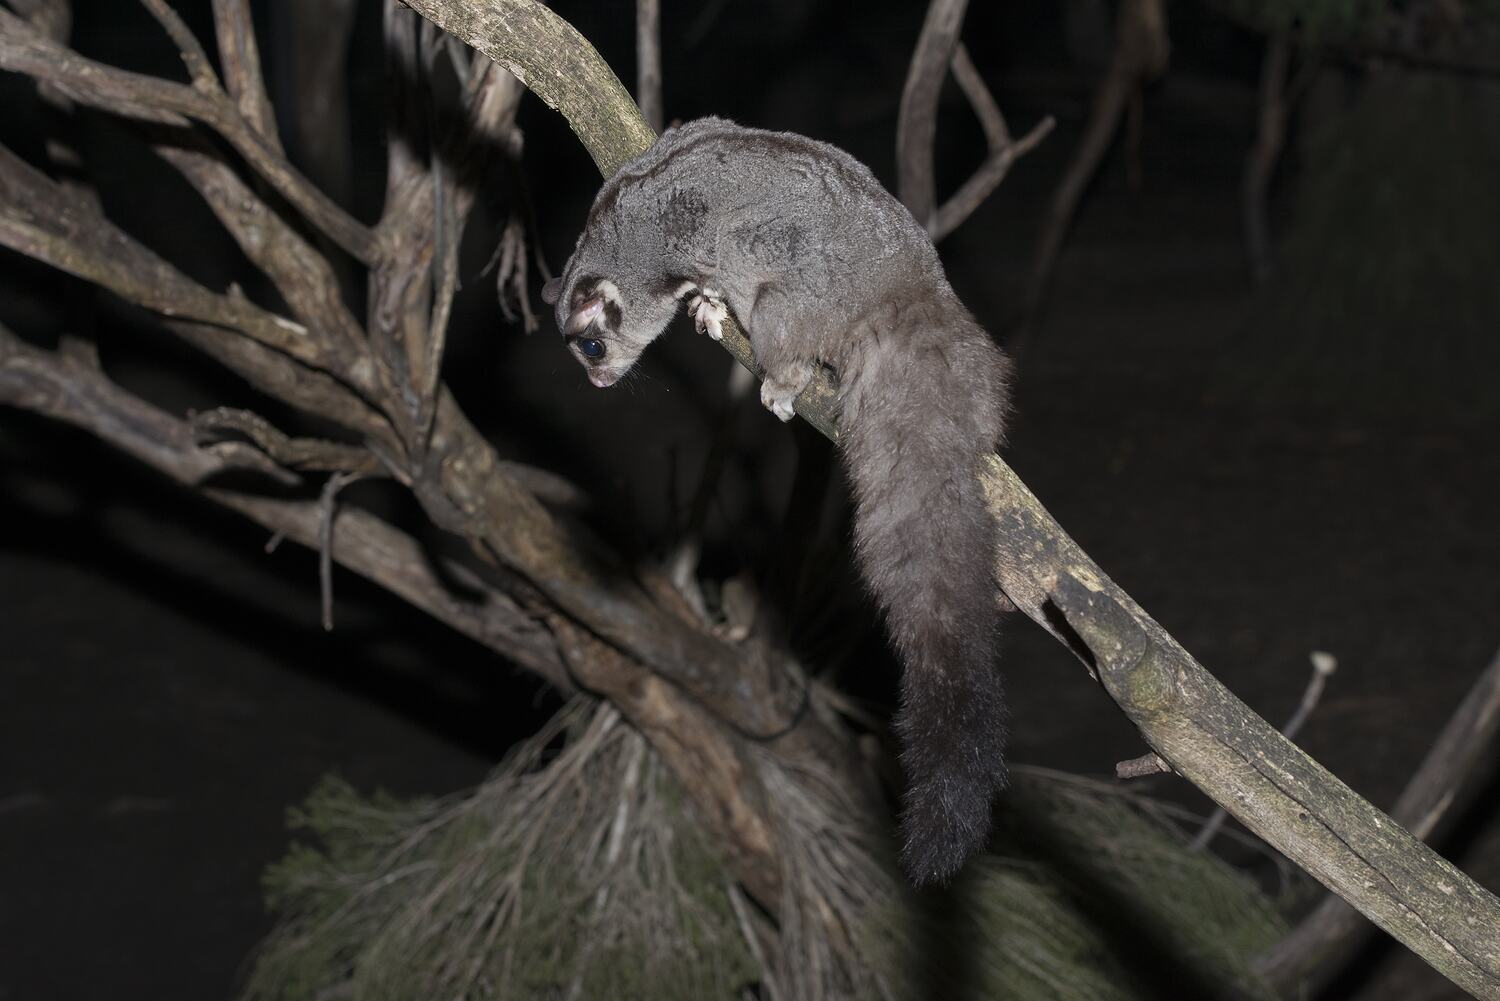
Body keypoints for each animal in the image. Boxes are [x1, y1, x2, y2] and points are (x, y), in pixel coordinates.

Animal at [543, 117, 1012, 885]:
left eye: (591, 347)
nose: (600, 384)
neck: (622, 237)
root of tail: (913, 284)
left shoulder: (686, 232)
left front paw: (714, 308)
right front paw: (702, 303)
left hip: (808, 290)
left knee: (775, 306)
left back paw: (781, 377)